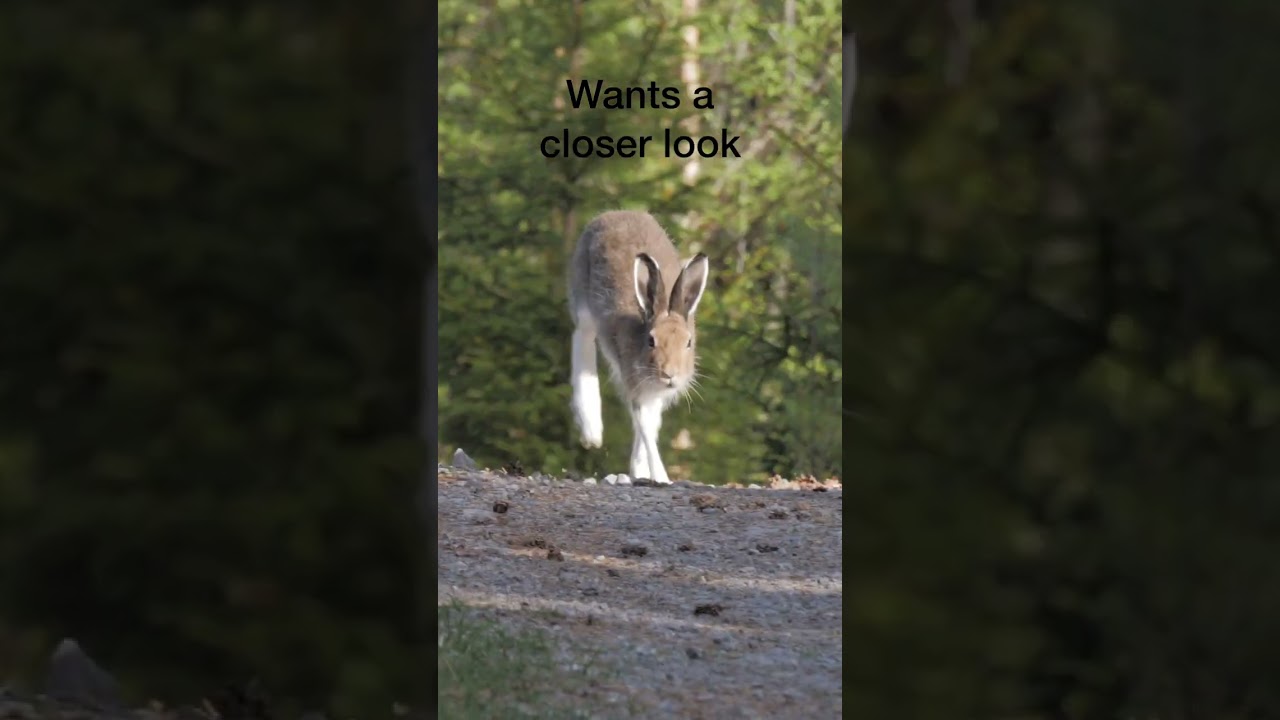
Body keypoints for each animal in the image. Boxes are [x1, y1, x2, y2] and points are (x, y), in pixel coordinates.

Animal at [567, 210, 710, 486]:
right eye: (651, 341)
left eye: (688, 342)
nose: (669, 374)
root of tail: (611, 214)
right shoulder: (636, 385)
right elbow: (645, 426)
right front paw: (662, 478)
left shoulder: (656, 395)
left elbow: (649, 428)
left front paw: (640, 471)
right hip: (583, 296)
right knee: (582, 339)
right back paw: (591, 430)